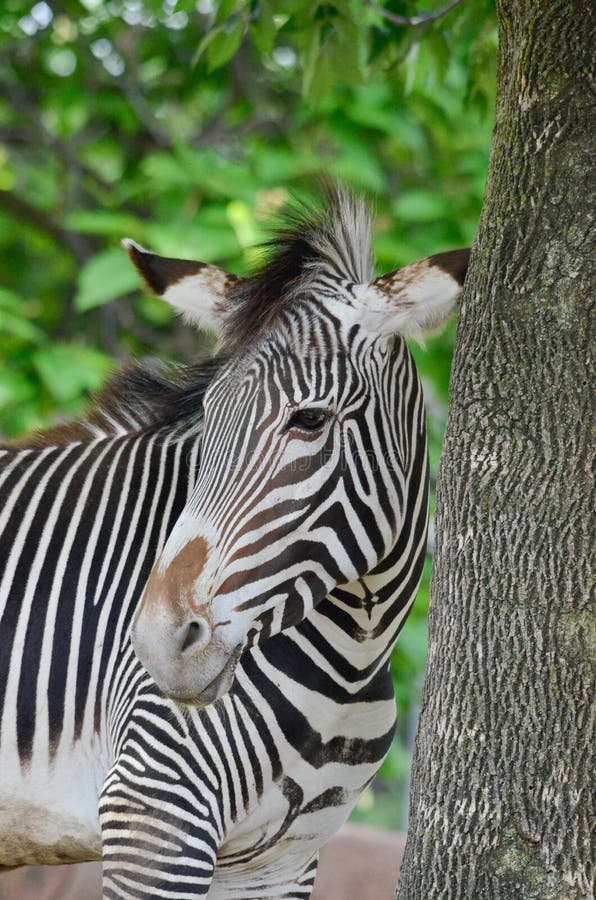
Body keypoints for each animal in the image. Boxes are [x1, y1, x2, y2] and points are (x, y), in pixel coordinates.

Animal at [0, 188, 469, 898]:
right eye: (208, 415)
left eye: (310, 420)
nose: (155, 646)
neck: (353, 660)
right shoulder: (153, 818)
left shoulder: (279, 859)